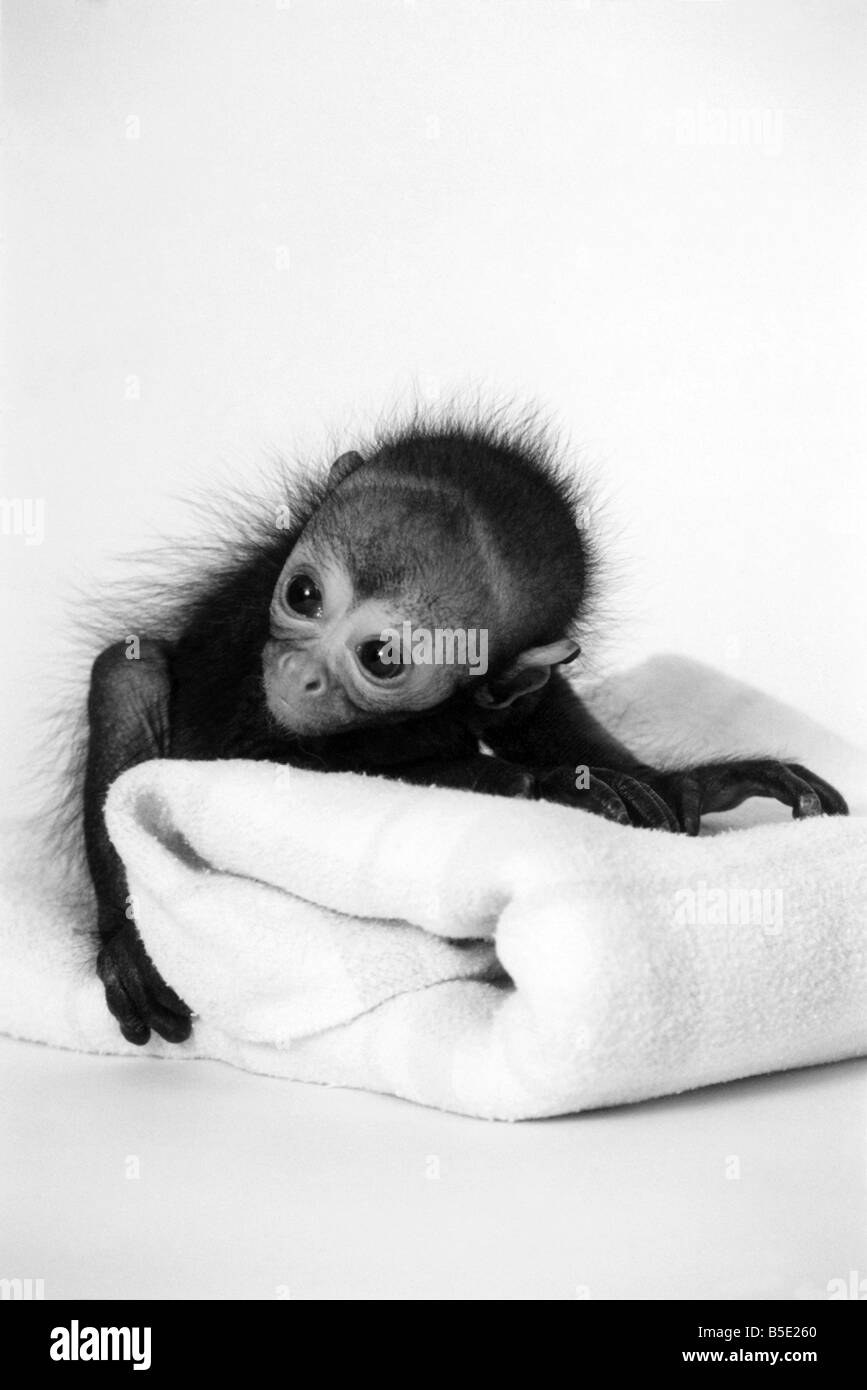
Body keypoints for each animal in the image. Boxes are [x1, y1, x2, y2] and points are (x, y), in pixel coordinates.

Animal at [82, 412, 848, 1047]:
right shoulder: (247, 629)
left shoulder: (508, 678)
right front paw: (554, 786)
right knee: (129, 670)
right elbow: (250, 761)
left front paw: (689, 783)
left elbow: (528, 701)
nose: (300, 673)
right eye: (303, 595)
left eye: (380, 658)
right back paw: (126, 939)